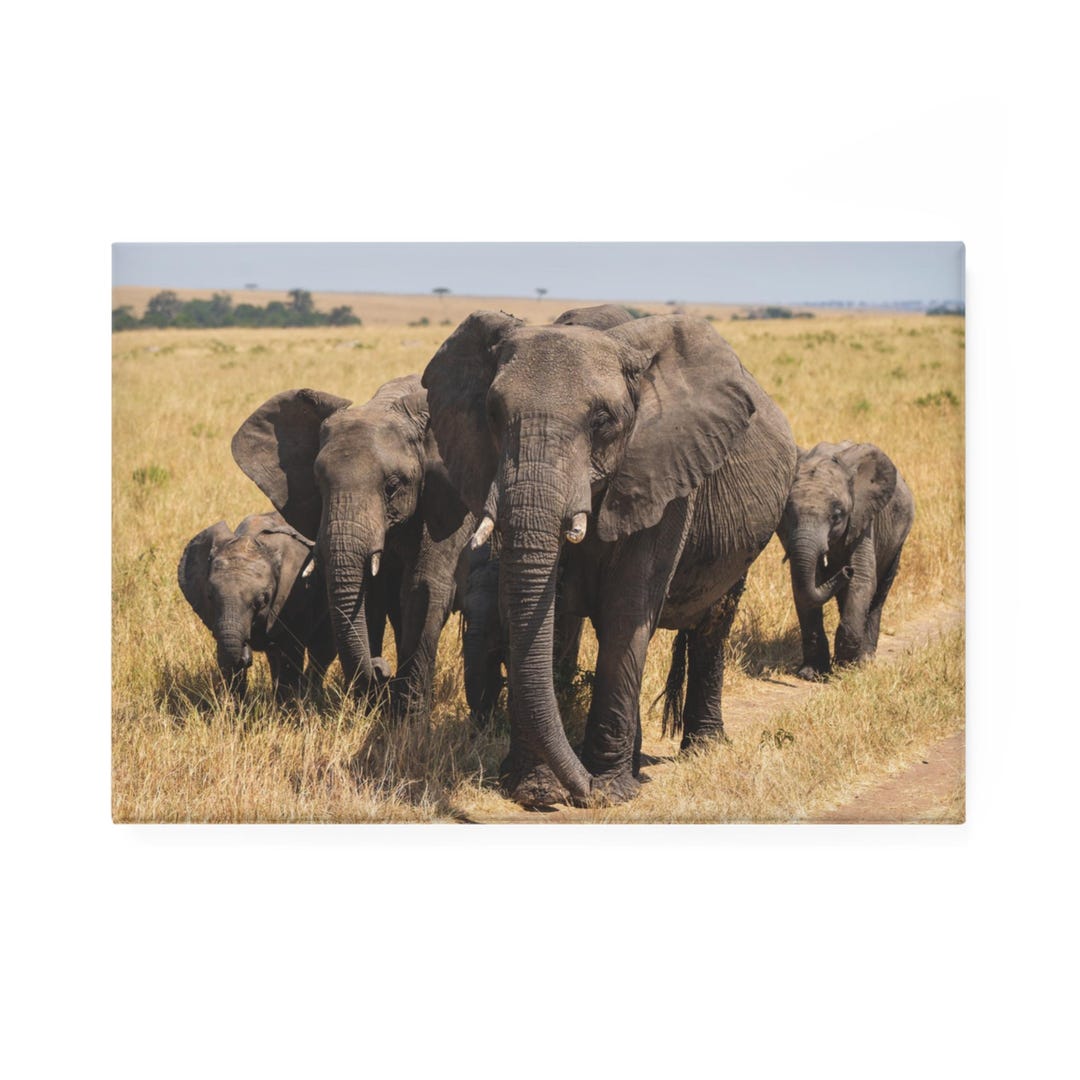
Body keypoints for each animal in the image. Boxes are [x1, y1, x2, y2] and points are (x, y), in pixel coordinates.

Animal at [177, 511, 336, 701]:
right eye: (209, 596)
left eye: (262, 600)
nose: (246, 657)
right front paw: (235, 707)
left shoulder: (296, 597)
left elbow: (290, 653)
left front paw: (288, 706)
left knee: (322, 649)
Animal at [230, 375, 474, 715]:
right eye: (318, 486)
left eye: (392, 487)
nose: (381, 668)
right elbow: (372, 595)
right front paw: (370, 709)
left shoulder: (450, 498)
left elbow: (424, 588)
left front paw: (407, 719)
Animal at [422, 307, 797, 806]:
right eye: (493, 413)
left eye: (602, 420)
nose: (586, 792)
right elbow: (541, 613)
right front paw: (536, 791)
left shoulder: (665, 472)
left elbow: (627, 609)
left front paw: (609, 790)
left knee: (712, 625)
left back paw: (702, 748)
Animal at [776, 441, 914, 679]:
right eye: (787, 513)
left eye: (837, 515)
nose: (845, 570)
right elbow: (803, 588)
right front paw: (811, 674)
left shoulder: (863, 521)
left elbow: (862, 580)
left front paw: (845, 668)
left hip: (897, 542)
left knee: (879, 592)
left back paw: (865, 659)